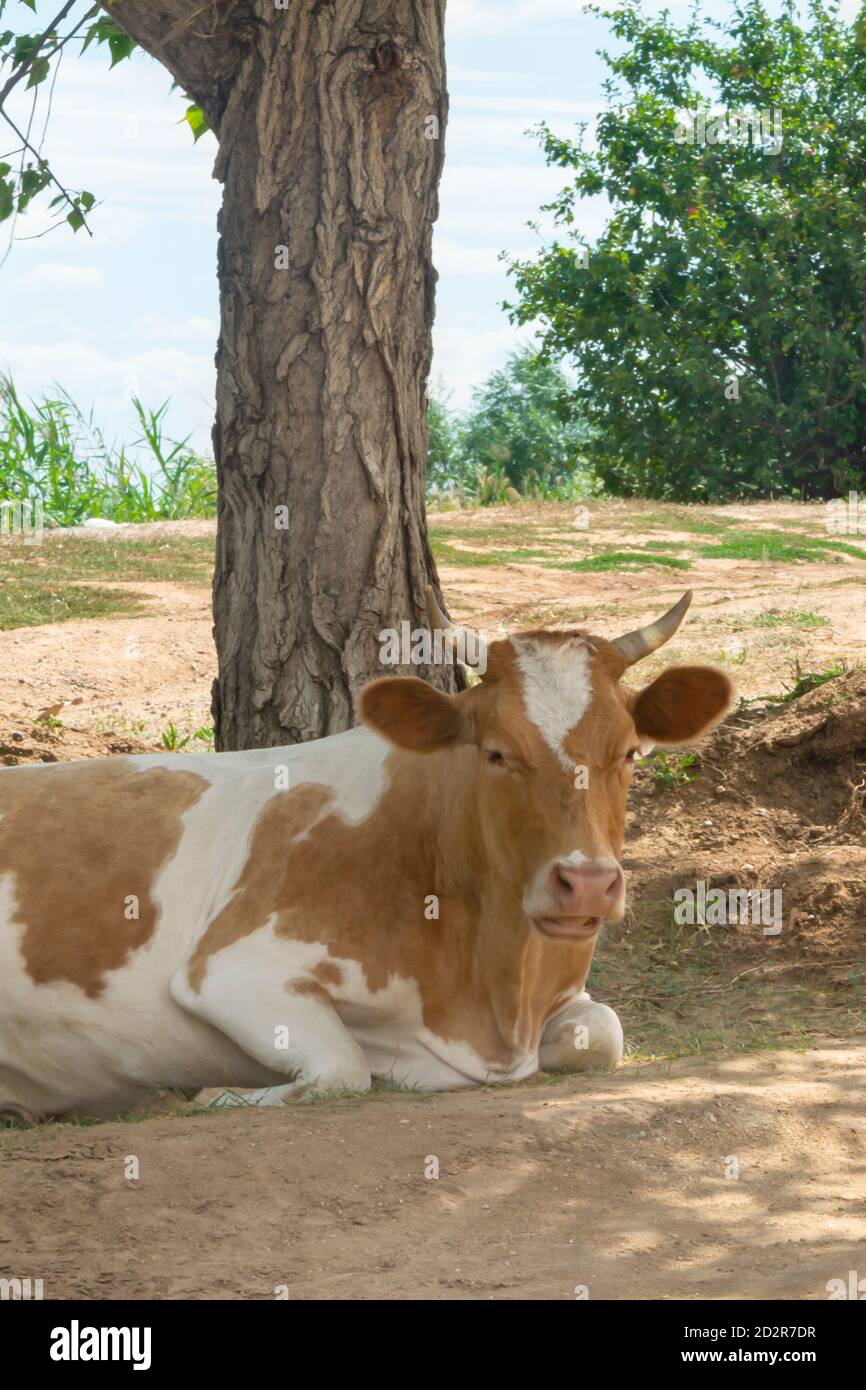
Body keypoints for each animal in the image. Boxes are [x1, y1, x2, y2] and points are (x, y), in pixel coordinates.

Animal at [0, 589, 731, 1122]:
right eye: (496, 752)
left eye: (630, 752)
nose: (586, 883)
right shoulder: (230, 967)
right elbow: (344, 1069)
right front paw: (208, 1093)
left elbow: (604, 1030)